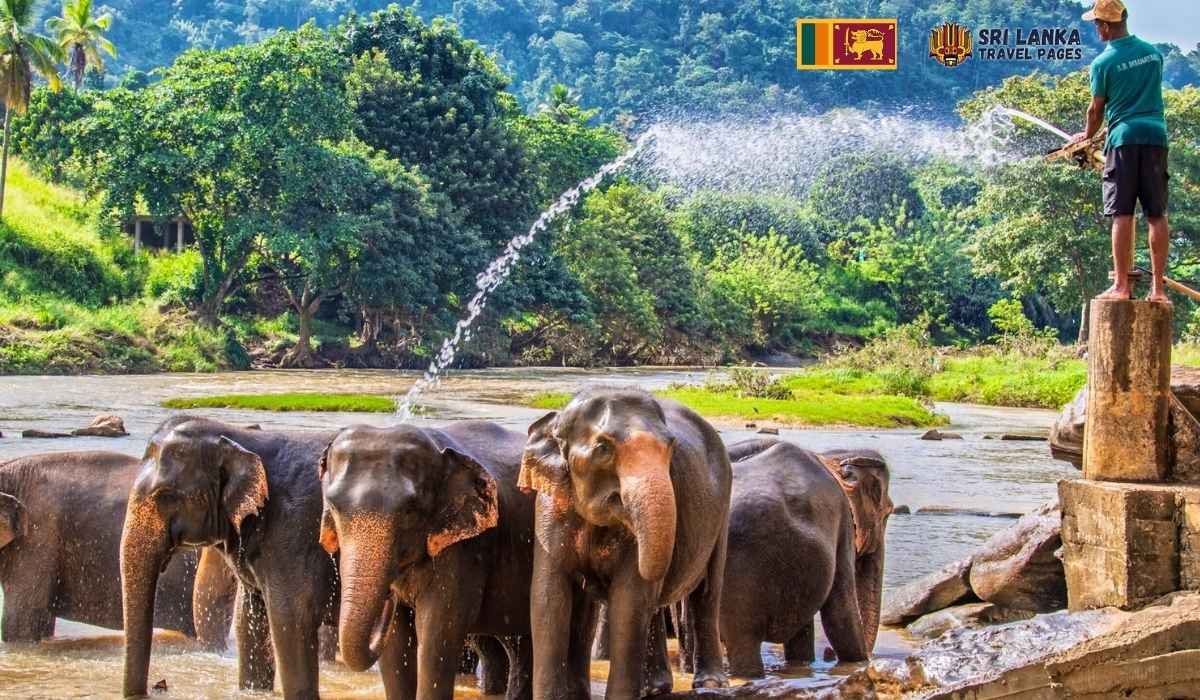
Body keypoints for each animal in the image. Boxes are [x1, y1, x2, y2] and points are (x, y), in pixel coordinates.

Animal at [121, 416, 338, 699]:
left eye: (166, 496)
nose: (158, 687)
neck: (238, 437)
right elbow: (249, 617)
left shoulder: (293, 533)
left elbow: (292, 617)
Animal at [318, 421, 534, 700]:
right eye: (333, 508)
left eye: (409, 512)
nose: (390, 597)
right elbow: (396, 643)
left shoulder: (466, 549)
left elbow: (438, 632)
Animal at [519, 388, 732, 699]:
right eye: (603, 448)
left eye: (671, 447)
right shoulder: (549, 508)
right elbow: (548, 596)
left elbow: (630, 598)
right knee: (657, 607)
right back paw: (655, 688)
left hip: (723, 509)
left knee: (707, 592)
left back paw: (711, 684)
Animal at [714, 439, 893, 677]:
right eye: (888, 512)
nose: (827, 654)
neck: (832, 456)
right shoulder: (843, 525)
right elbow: (840, 612)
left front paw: (801, 664)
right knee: (743, 643)